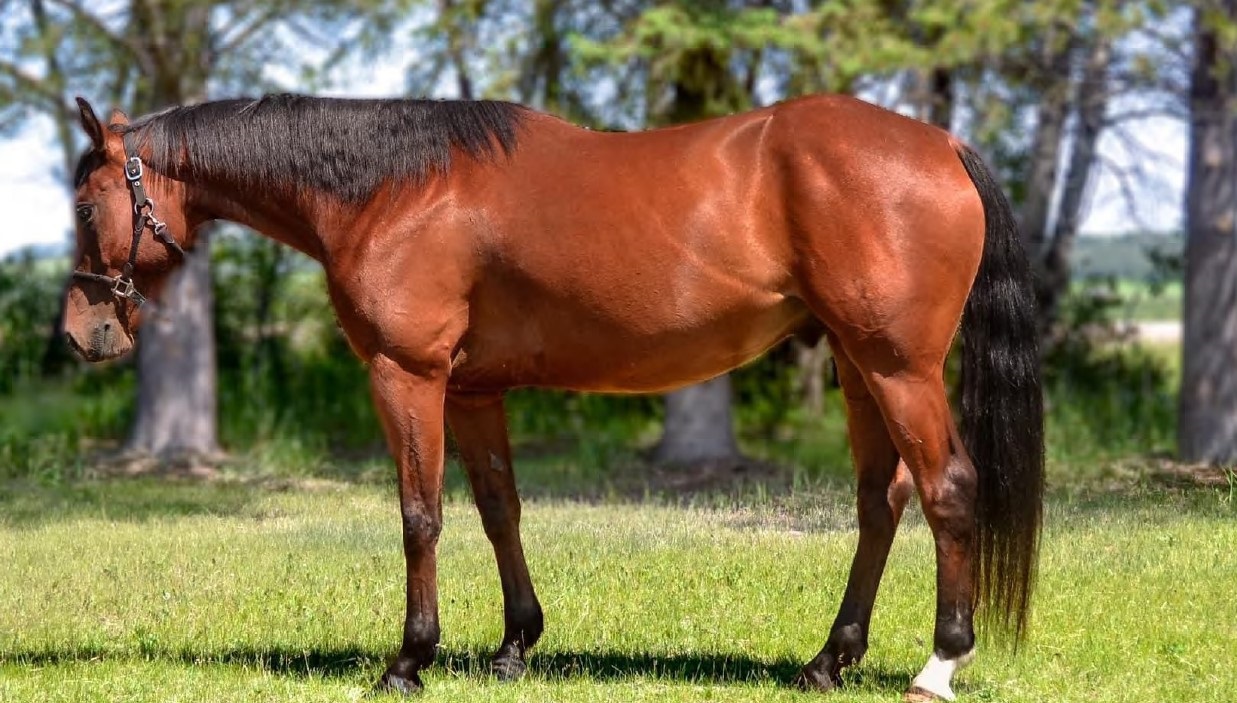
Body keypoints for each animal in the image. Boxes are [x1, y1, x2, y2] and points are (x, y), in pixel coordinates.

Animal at [62, 93, 1043, 701]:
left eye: (83, 202)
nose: (82, 333)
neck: (392, 190)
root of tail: (940, 144)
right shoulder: (472, 388)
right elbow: (499, 508)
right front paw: (512, 646)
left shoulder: (406, 374)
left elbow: (420, 514)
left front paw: (408, 659)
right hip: (857, 365)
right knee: (881, 501)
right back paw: (827, 661)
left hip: (897, 367)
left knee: (947, 489)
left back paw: (937, 665)